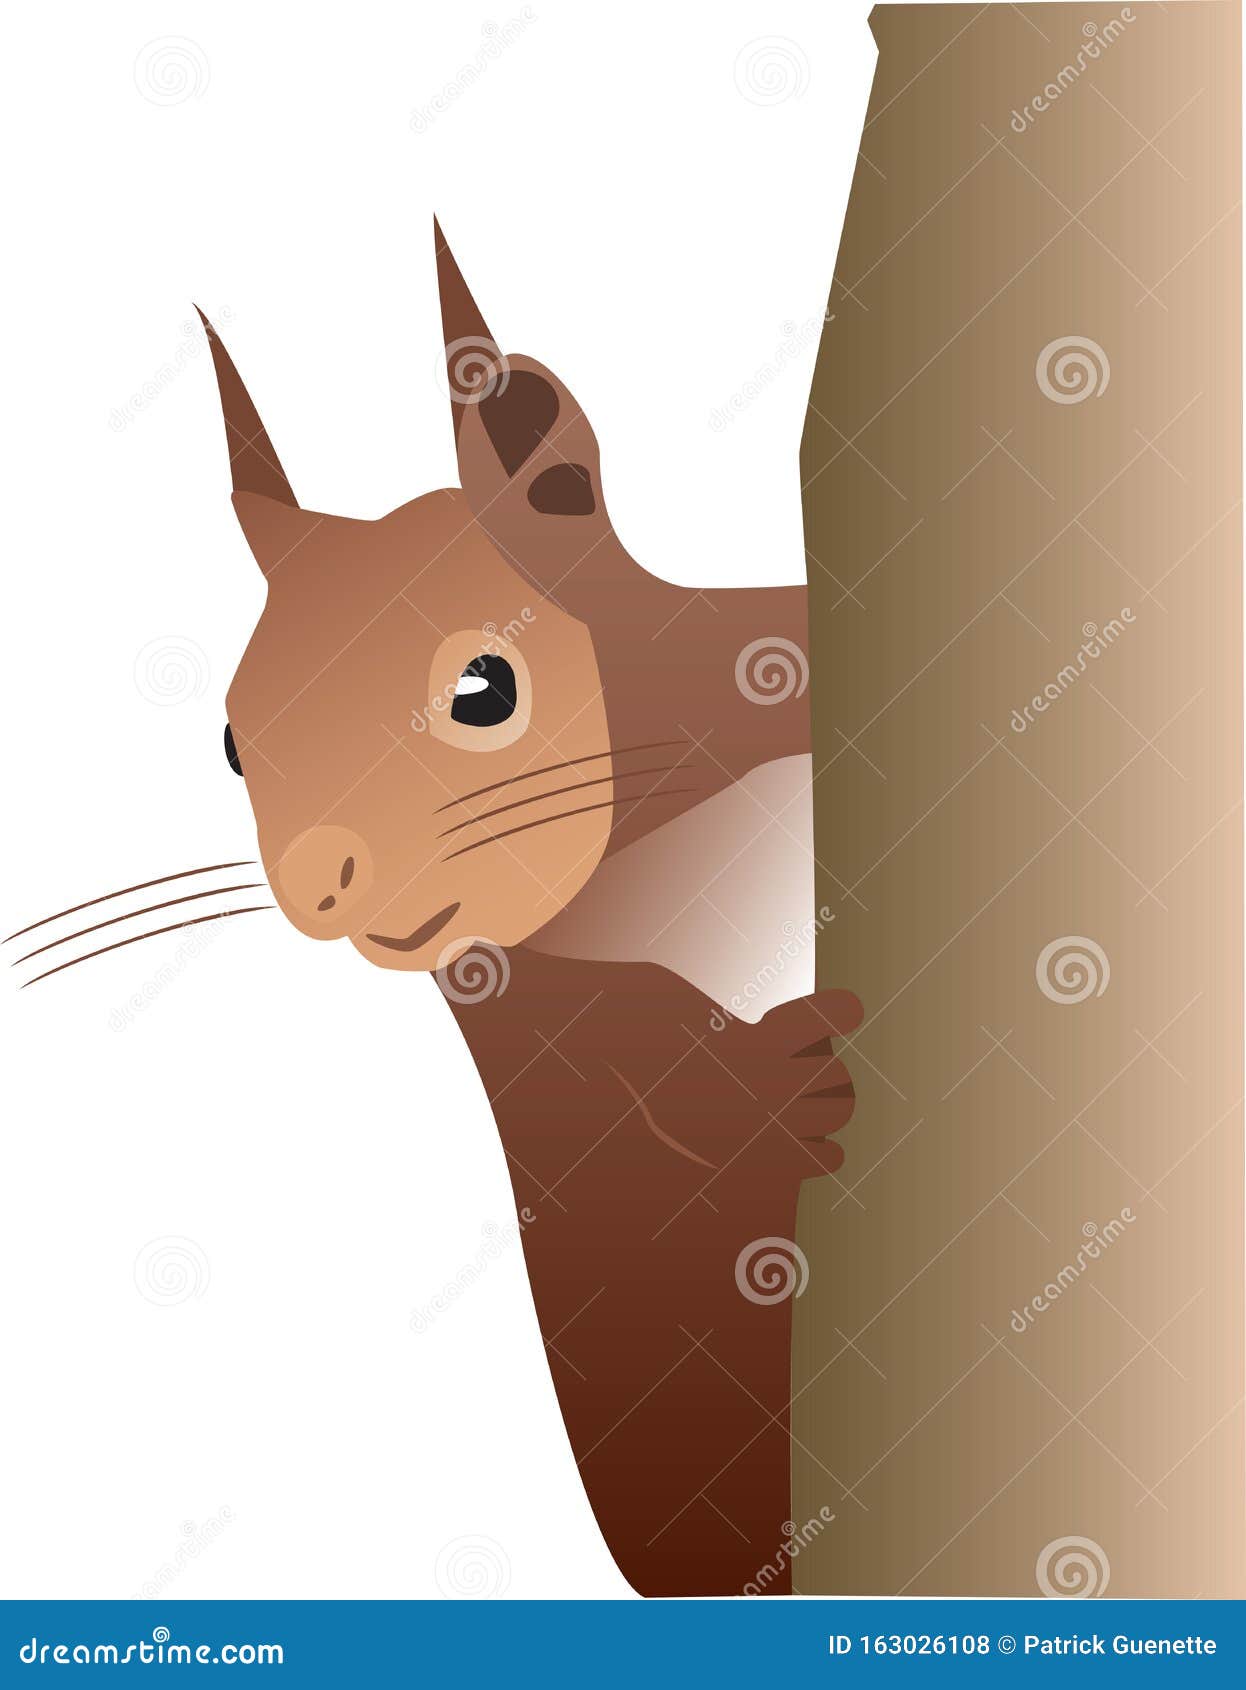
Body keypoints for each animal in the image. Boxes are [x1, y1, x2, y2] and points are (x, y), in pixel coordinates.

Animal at [199, 221, 864, 1598]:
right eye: (231, 743)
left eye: (484, 686)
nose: (317, 881)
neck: (647, 849)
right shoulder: (528, 1024)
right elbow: (625, 1115)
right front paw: (767, 1089)